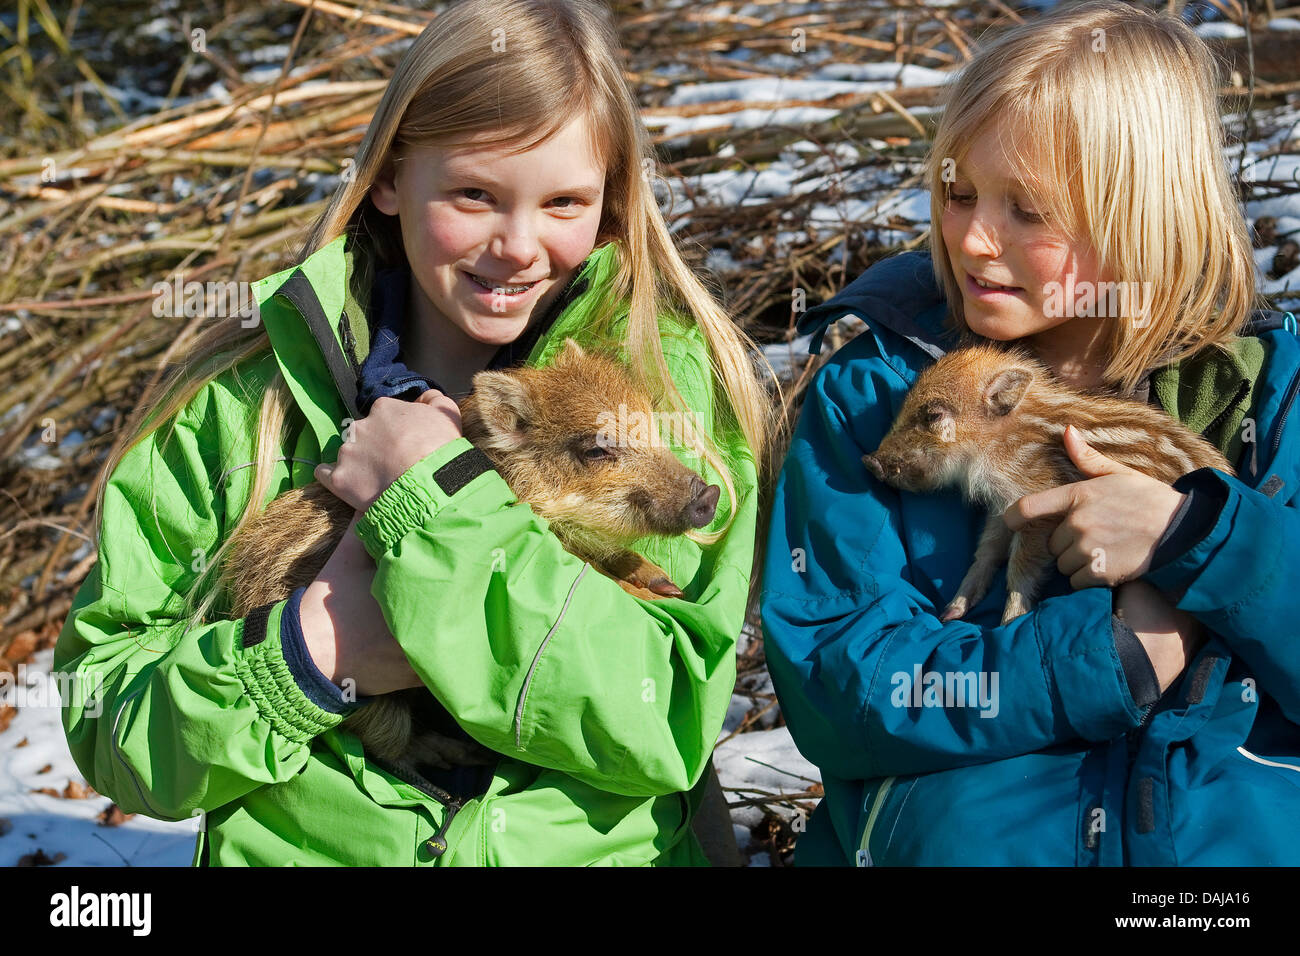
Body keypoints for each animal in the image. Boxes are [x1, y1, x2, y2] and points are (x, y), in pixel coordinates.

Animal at [221, 338, 721, 769]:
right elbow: (587, 572)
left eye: (652, 423)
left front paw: (668, 587)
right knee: (387, 743)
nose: (710, 494)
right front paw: (662, 597)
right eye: (596, 449)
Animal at [860, 343, 1234, 625]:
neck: (1002, 441)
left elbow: (1019, 569)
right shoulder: (1003, 506)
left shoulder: (1039, 505)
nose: (869, 460)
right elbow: (987, 550)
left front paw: (1009, 622)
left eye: (933, 415)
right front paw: (952, 612)